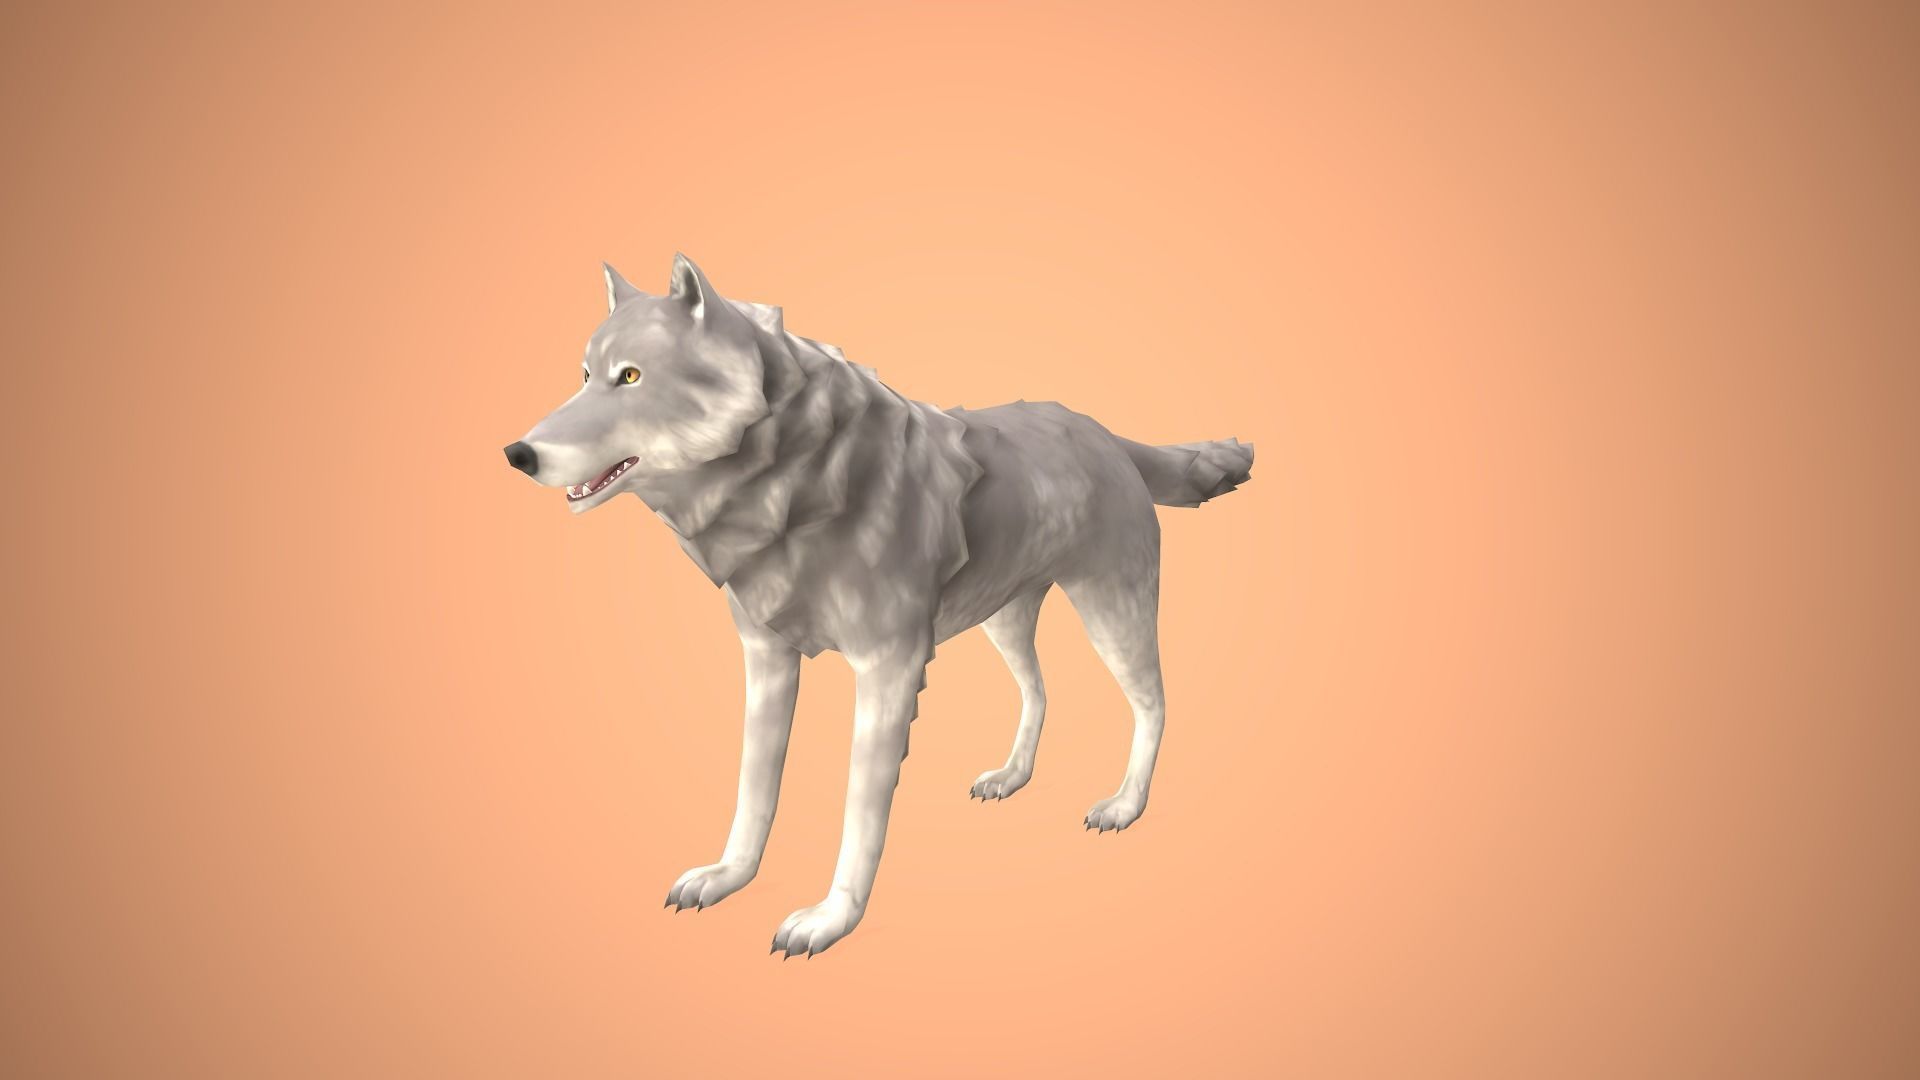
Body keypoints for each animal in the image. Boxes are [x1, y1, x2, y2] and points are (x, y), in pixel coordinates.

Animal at [504, 254, 1252, 956]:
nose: (518, 453)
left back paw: (1125, 804)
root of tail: (1104, 432)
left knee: (1153, 704)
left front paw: (831, 920)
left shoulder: (888, 671)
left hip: (1110, 611)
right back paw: (1012, 776)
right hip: (1005, 616)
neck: (799, 481)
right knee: (1040, 691)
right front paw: (727, 876)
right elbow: (754, 788)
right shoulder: (767, 658)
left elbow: (860, 816)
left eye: (629, 377)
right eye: (583, 374)